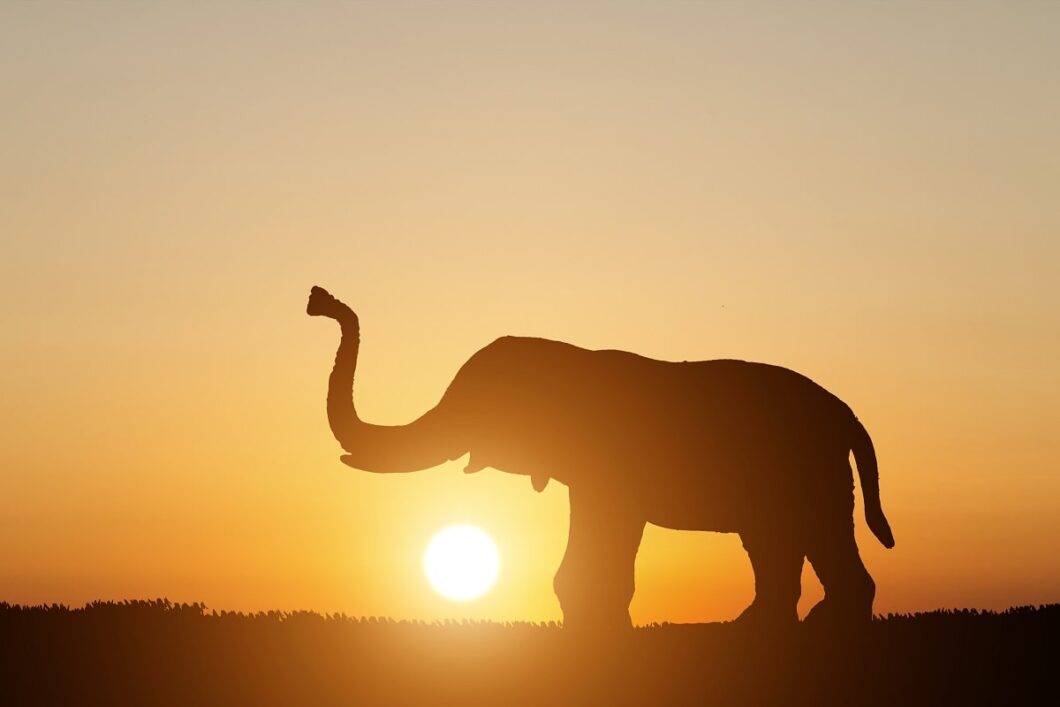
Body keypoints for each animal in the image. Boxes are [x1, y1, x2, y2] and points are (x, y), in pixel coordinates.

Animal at [307, 286, 894, 631]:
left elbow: (610, 531)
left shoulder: (612, 470)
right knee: (780, 545)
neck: (569, 357)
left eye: (476, 406)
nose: (319, 299)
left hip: (812, 467)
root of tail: (847, 413)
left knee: (815, 538)